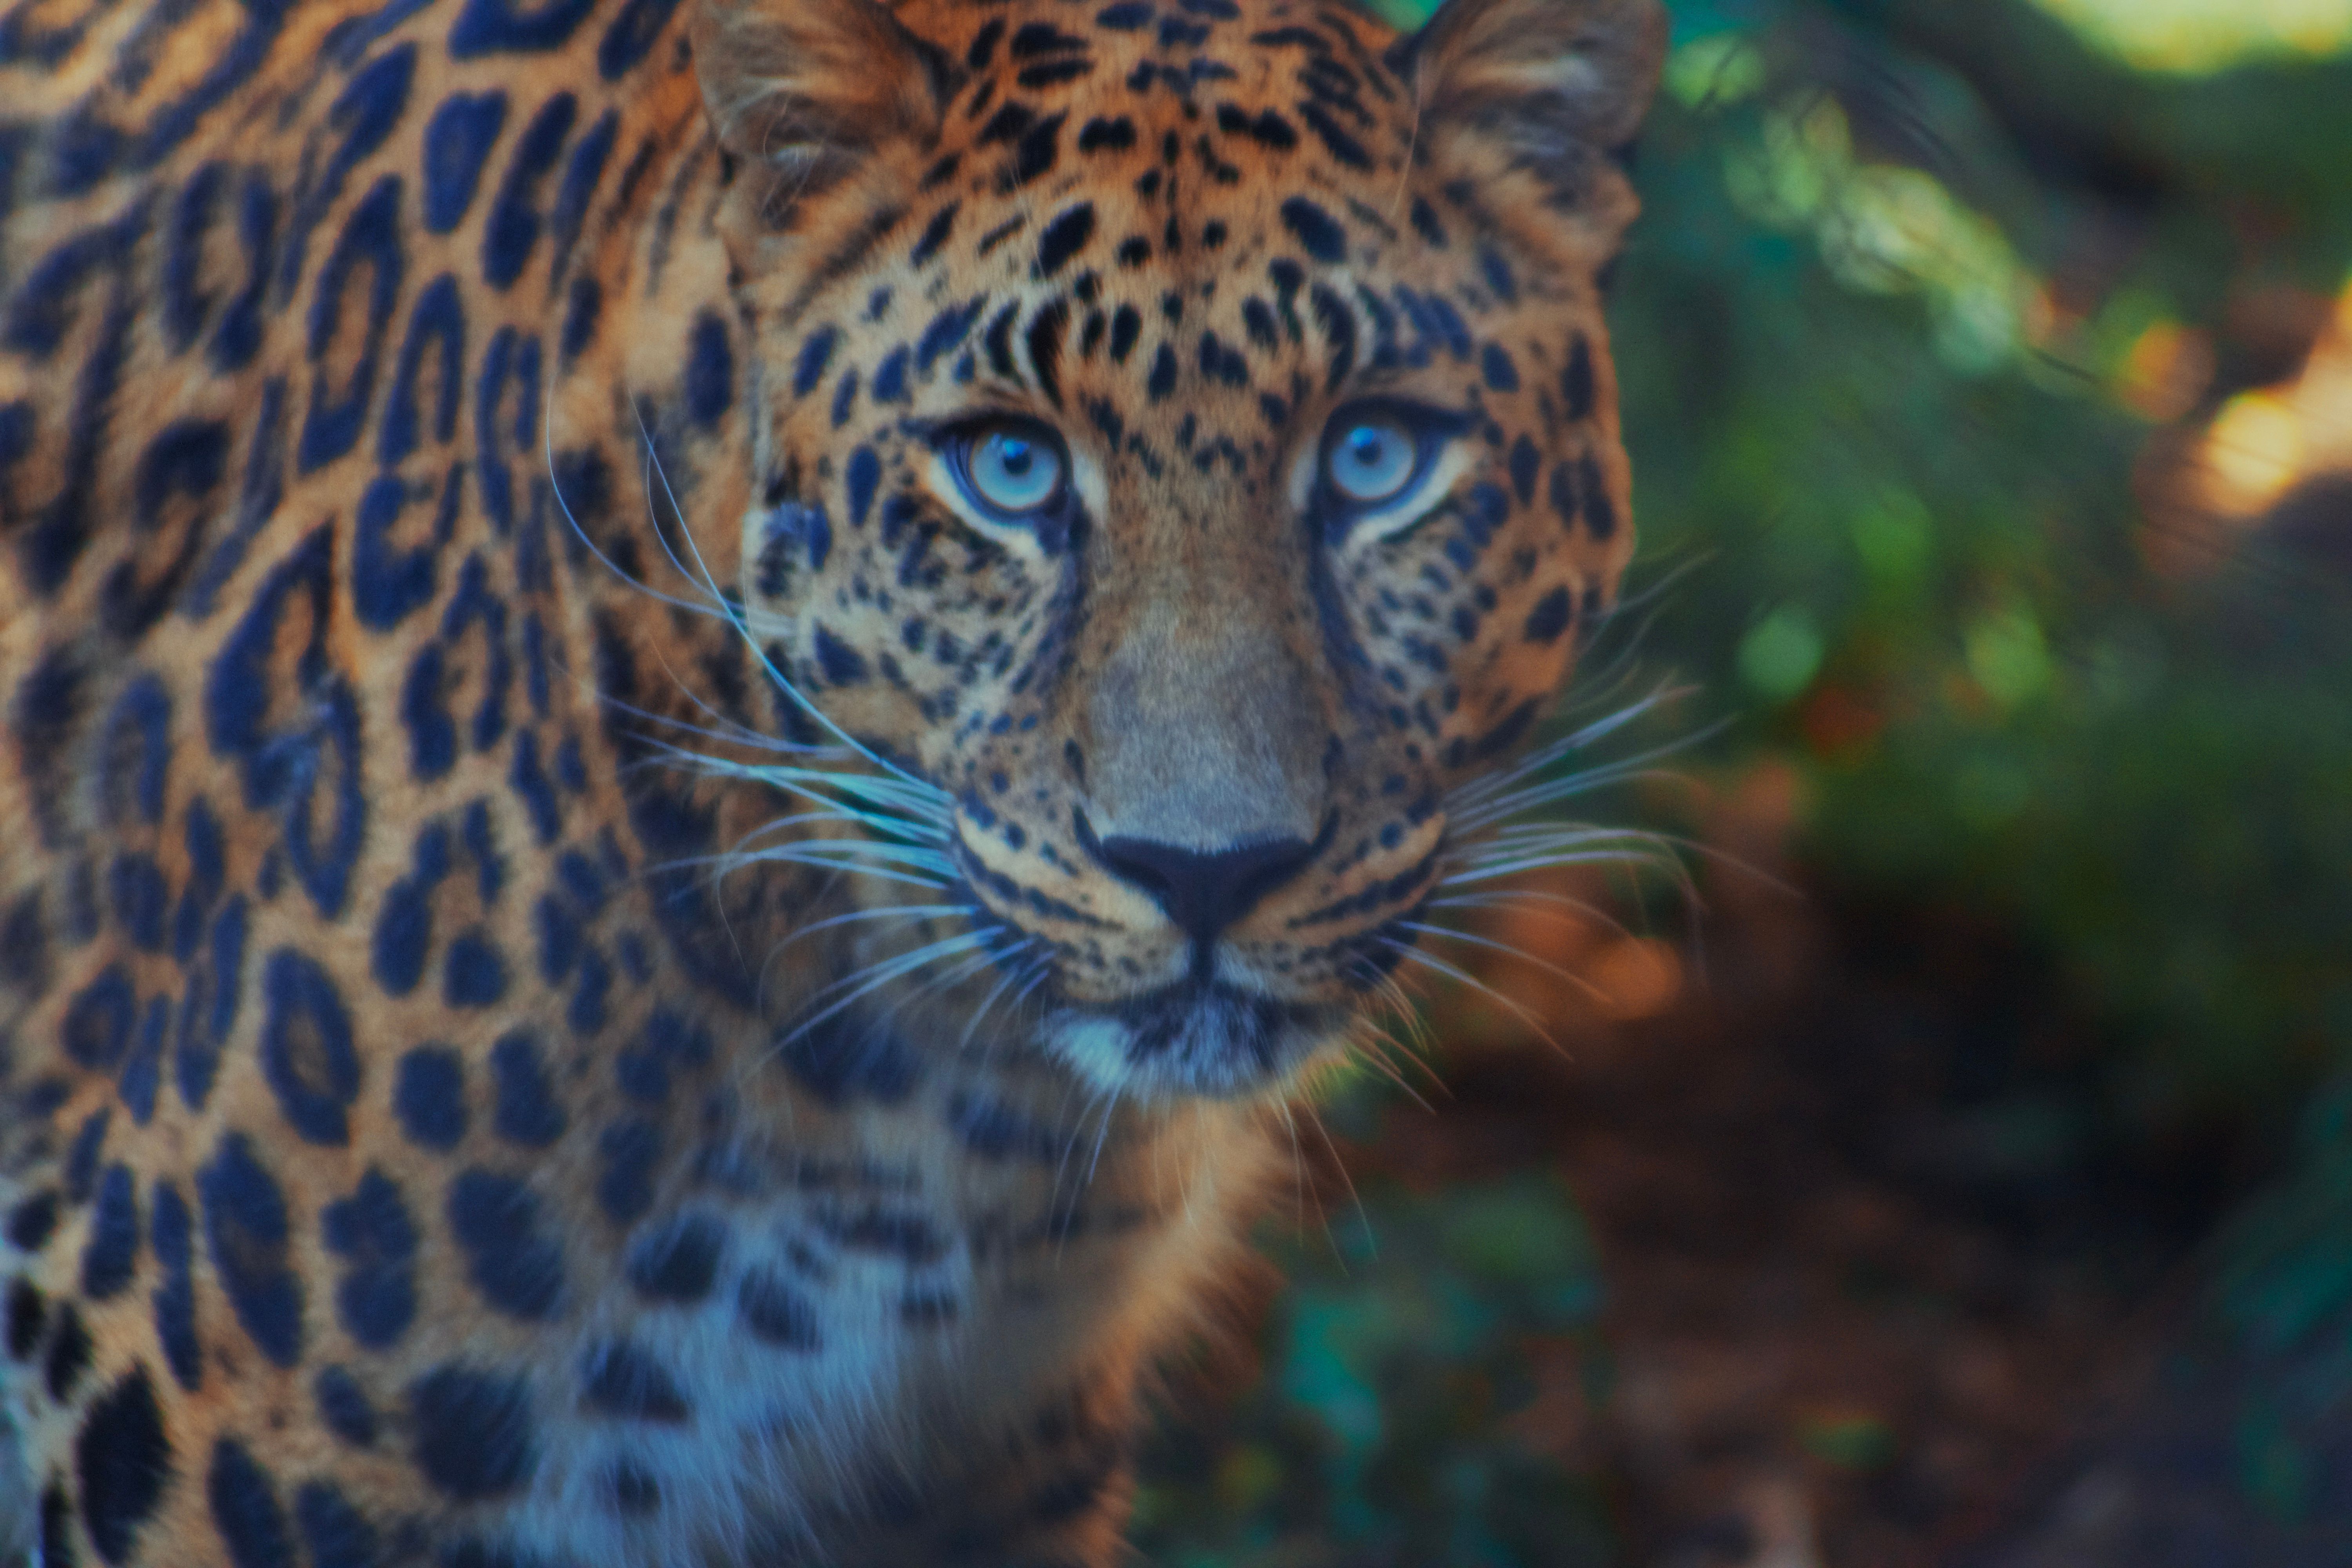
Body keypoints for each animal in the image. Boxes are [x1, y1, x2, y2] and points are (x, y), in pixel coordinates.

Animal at [0, 0, 1663, 1560]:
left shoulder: (987, 1457)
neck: (942, 1130)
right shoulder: (215, 1427)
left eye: (1378, 456)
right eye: (1009, 470)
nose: (1208, 870)